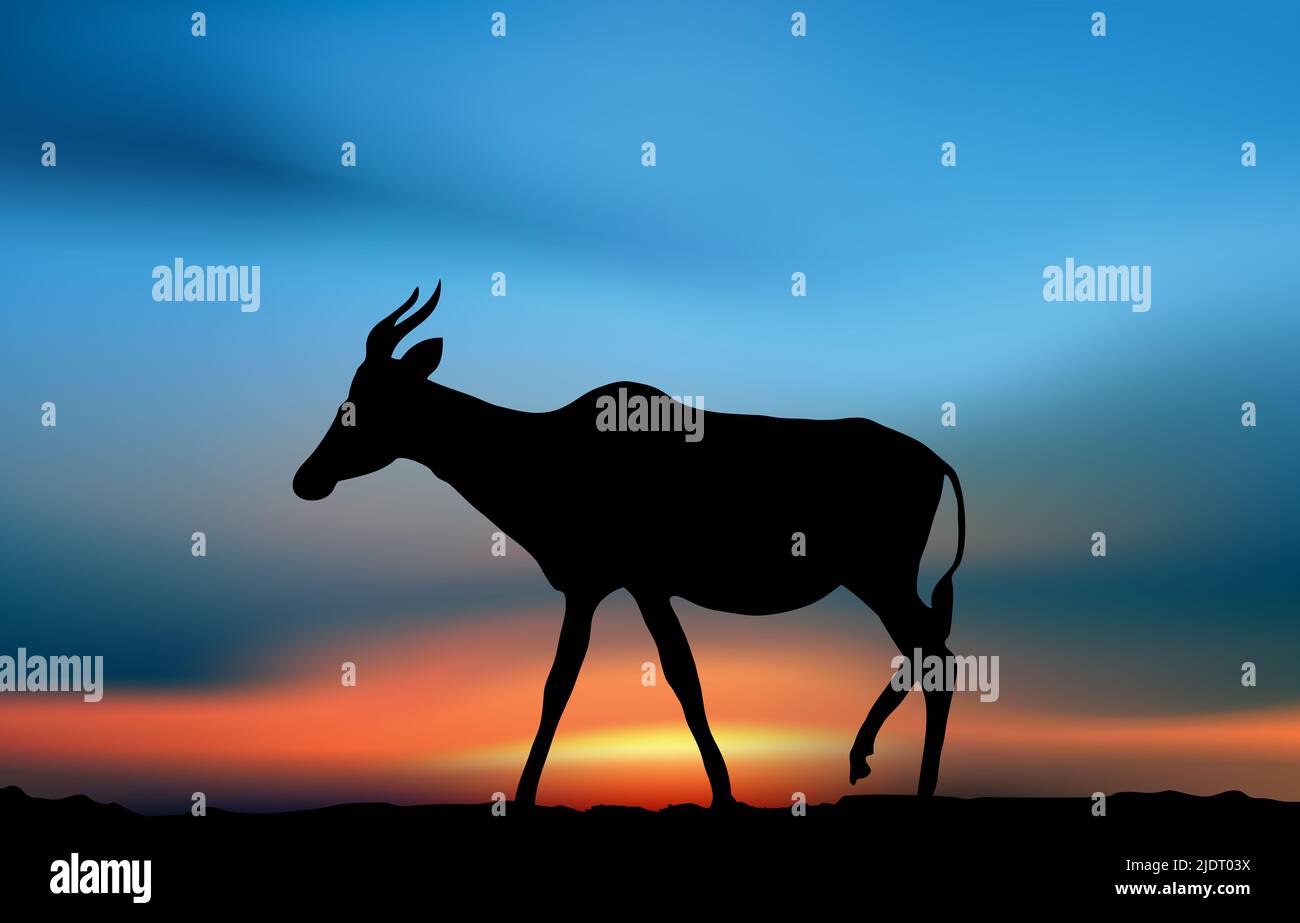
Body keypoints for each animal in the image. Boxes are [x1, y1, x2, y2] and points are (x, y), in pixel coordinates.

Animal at [293, 283, 967, 808]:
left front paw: (725, 795)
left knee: (938, 654)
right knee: (929, 648)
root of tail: (936, 462)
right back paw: (874, 766)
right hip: (878, 580)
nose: (307, 480)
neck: (549, 448)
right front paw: (525, 796)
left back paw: (898, 778)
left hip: (879, 576)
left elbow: (679, 676)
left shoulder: (641, 584)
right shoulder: (591, 590)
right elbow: (560, 684)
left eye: (367, 400)